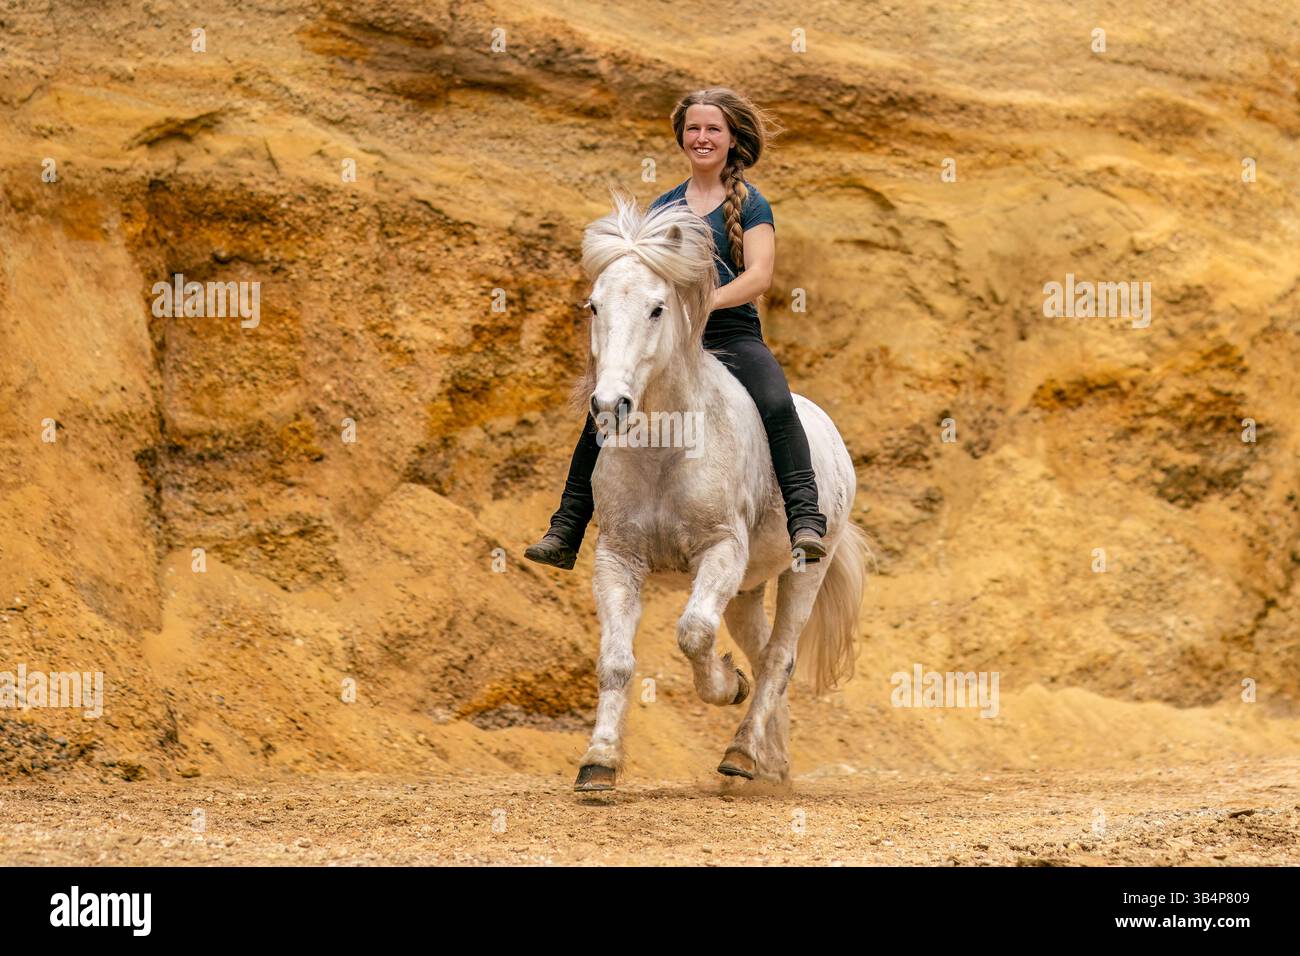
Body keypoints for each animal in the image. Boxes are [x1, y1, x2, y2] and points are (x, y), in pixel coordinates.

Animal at [569, 188, 871, 790]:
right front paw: (599, 761)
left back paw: (741, 753)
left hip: (805, 569)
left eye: (657, 308)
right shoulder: (617, 556)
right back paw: (770, 761)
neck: (665, 449)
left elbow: (692, 632)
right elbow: (616, 660)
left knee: (779, 656)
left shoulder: (720, 551)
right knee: (762, 650)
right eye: (594, 306)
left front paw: (725, 687)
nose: (609, 406)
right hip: (749, 587)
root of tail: (829, 432)